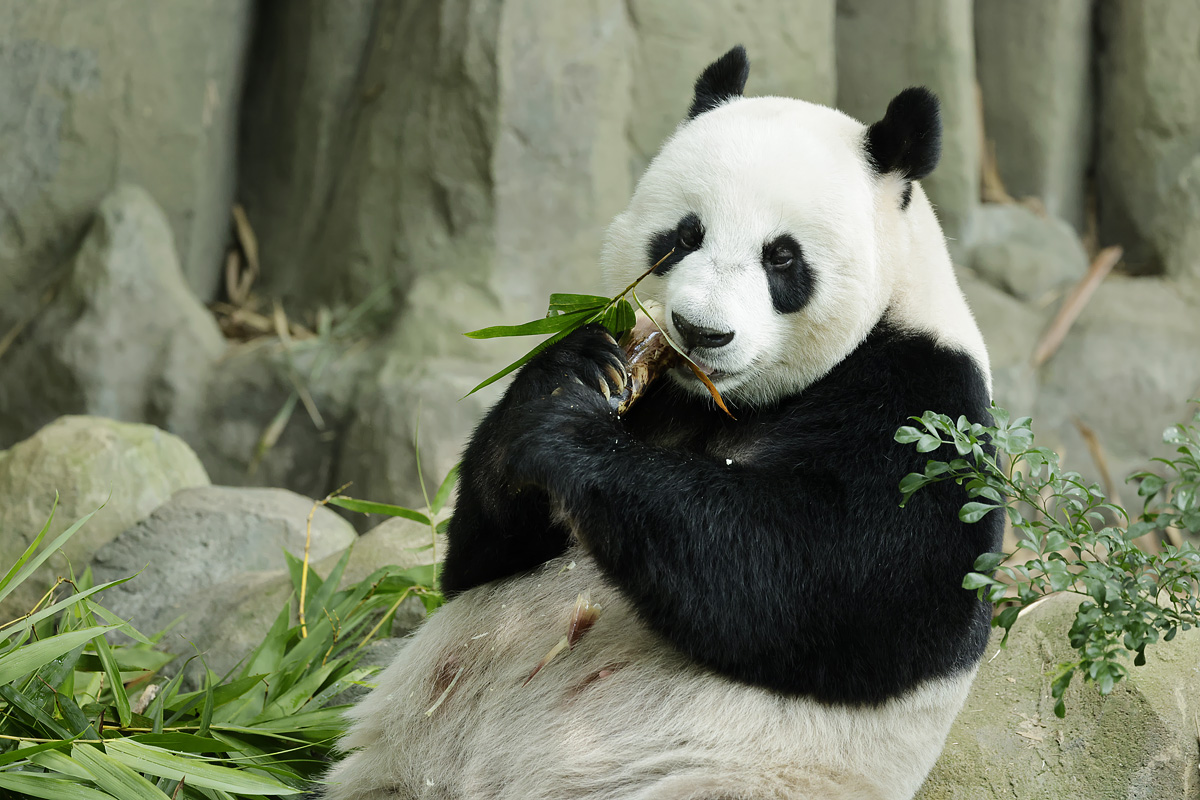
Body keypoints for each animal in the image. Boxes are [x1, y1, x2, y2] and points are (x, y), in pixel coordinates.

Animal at [321, 46, 1001, 800]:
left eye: (782, 257)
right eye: (684, 235)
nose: (701, 332)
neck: (731, 400)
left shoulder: (922, 404)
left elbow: (827, 571)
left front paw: (569, 435)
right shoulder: (658, 392)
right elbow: (477, 559)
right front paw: (569, 373)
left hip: (721, 778)